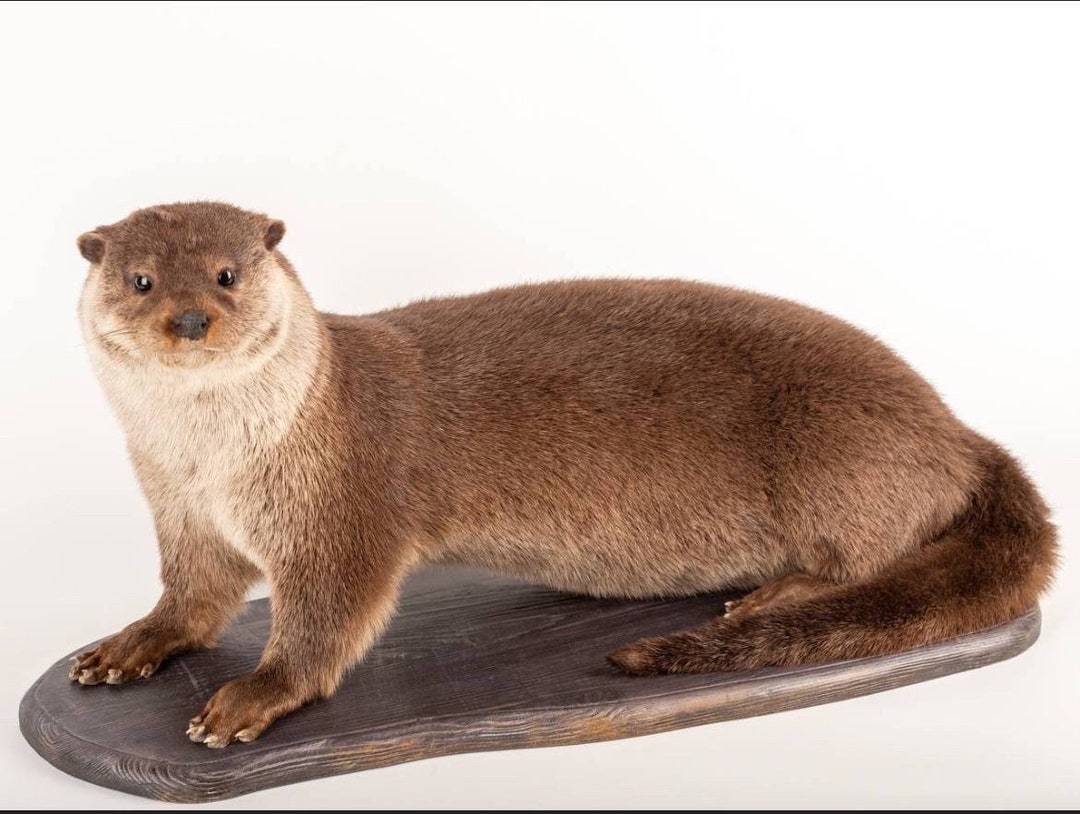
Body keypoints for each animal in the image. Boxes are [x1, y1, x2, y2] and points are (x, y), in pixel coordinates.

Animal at [71, 202, 1057, 748]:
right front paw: (128, 645)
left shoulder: (341, 508)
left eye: (228, 274)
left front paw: (251, 695)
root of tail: (953, 429)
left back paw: (771, 600)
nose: (189, 319)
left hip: (843, 461)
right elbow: (195, 598)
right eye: (141, 279)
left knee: (876, 555)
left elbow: (327, 616)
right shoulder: (179, 508)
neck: (216, 459)